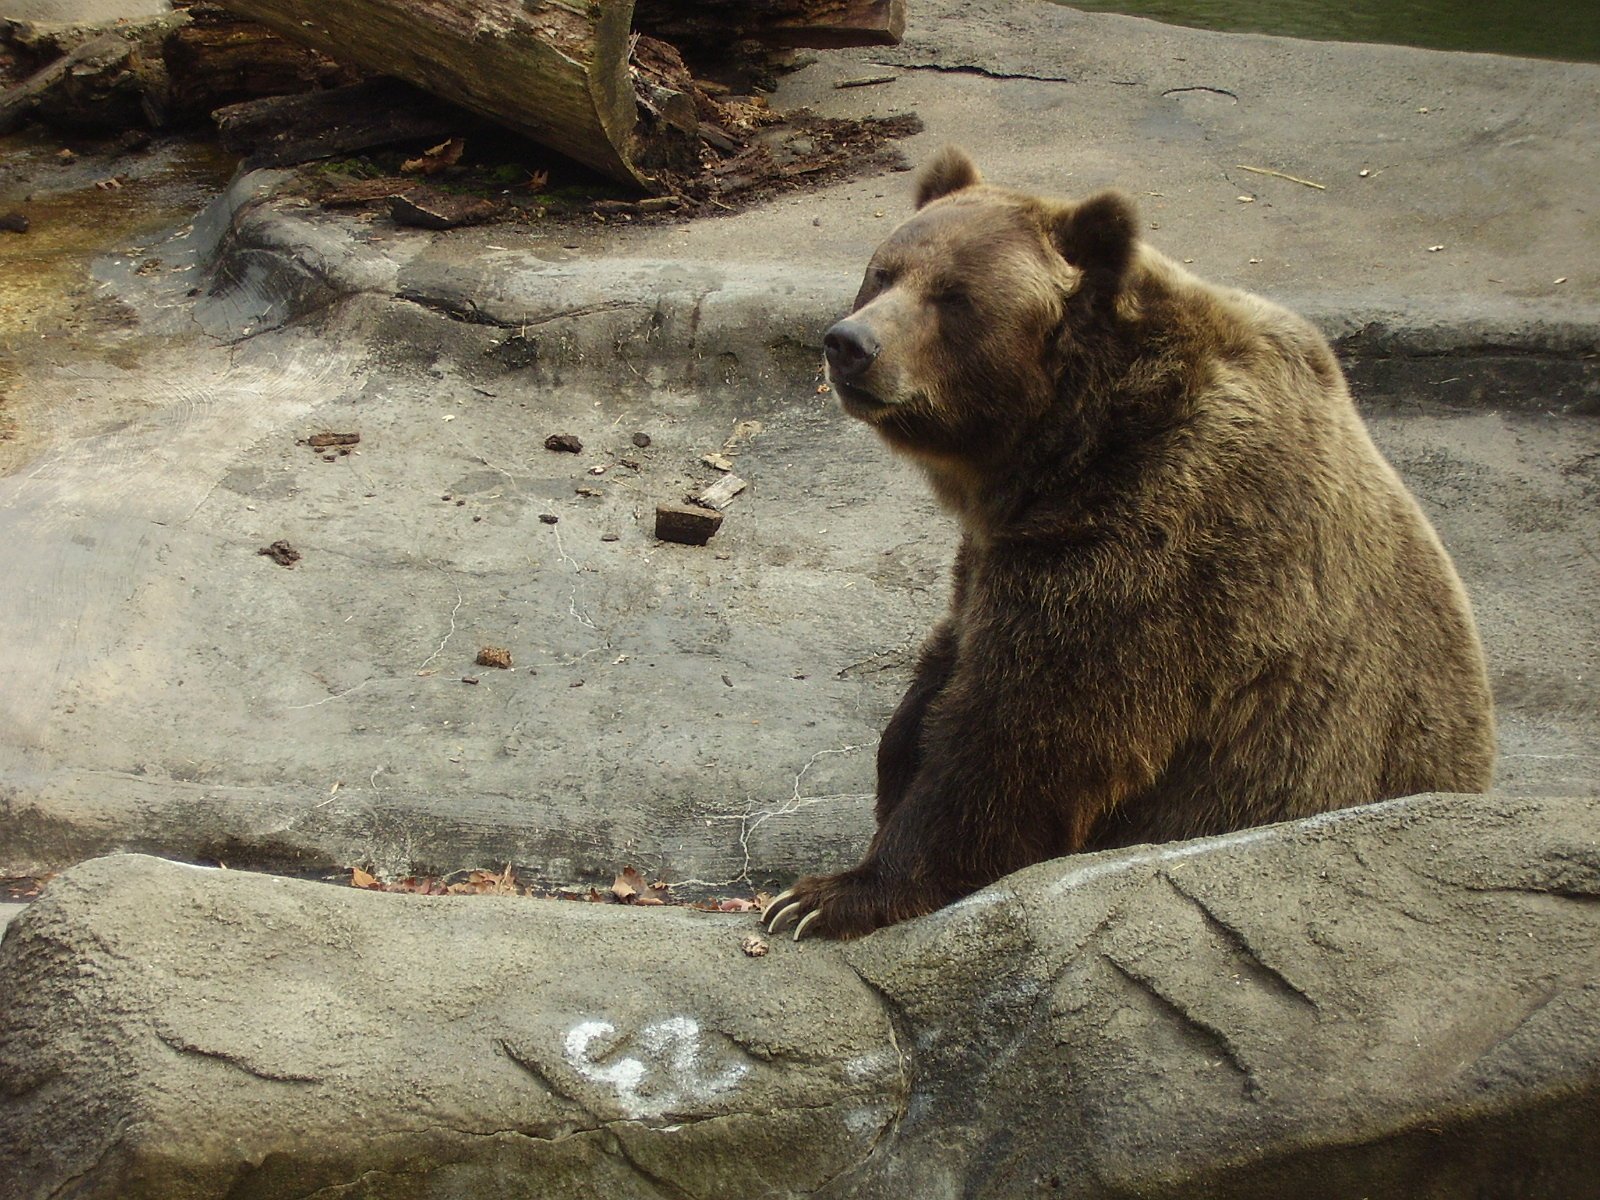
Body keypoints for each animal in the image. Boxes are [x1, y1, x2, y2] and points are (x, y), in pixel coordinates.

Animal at [763, 146, 1496, 941]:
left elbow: (1027, 736)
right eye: (884, 270)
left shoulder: (1159, 539)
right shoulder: (1000, 545)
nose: (851, 344)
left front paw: (823, 896)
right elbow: (949, 659)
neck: (1068, 443)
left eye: (955, 297)